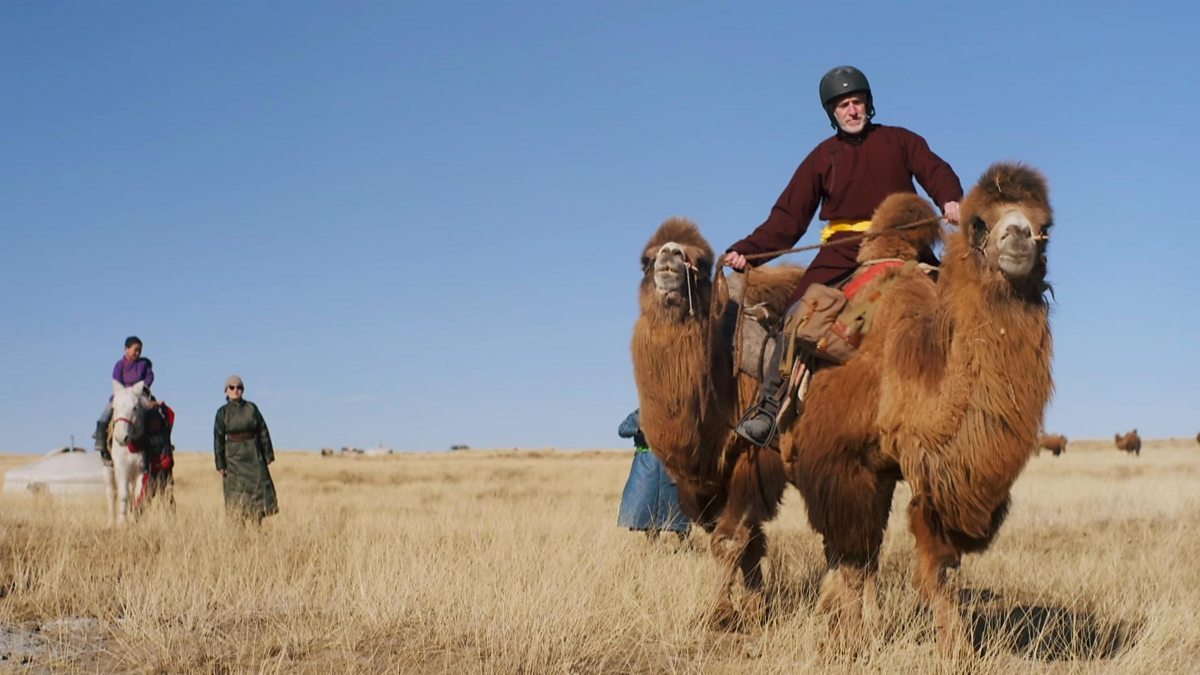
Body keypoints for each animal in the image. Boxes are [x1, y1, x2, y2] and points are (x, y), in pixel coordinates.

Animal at [631, 217, 804, 628]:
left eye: (702, 263)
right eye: (645, 260)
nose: (670, 255)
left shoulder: (753, 459)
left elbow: (730, 539)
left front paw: (723, 614)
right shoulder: (700, 485)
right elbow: (749, 541)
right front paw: (755, 608)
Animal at [780, 162, 1055, 651]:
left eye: (1047, 227)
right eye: (978, 222)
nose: (1019, 236)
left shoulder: (927, 479)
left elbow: (937, 569)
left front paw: (956, 649)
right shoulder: (840, 463)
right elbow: (852, 559)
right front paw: (847, 642)